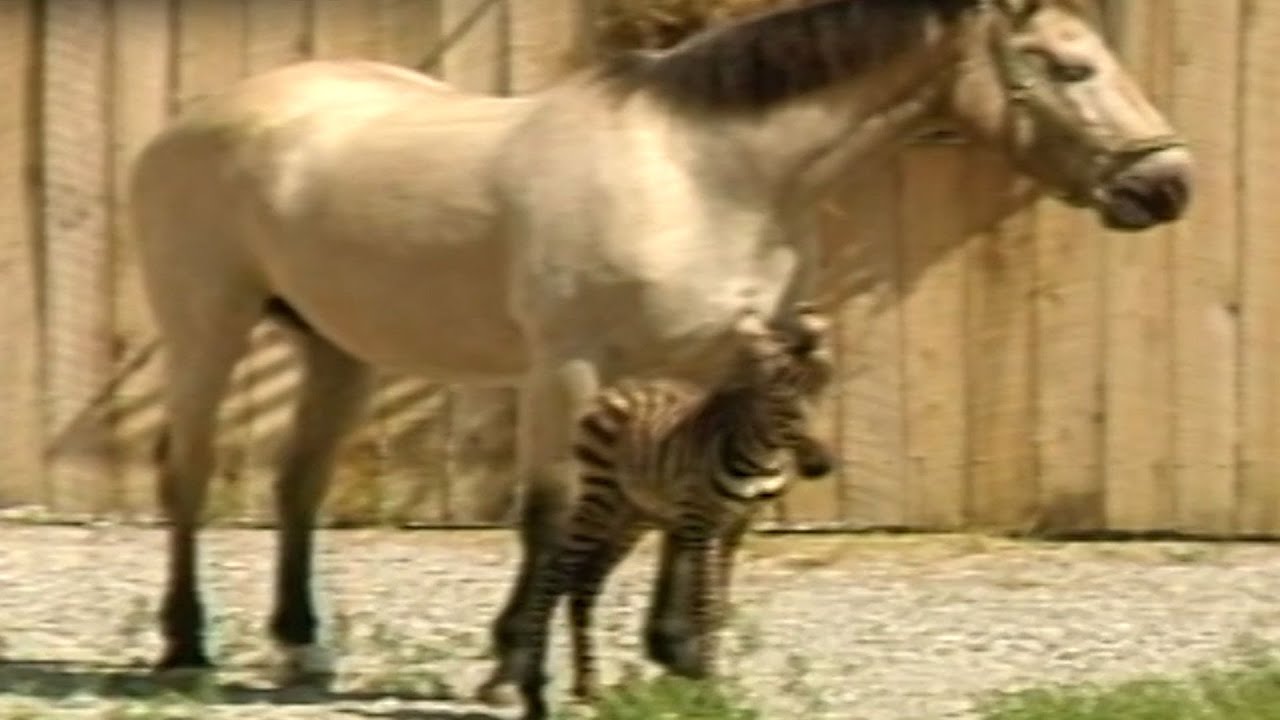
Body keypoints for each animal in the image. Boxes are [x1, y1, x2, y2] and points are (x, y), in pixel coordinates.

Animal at [478, 304, 837, 716]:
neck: (761, 456)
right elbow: (704, 604)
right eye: (782, 400)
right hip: (599, 500)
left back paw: (589, 686)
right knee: (557, 574)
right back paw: (535, 693)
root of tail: (621, 385)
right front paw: (708, 688)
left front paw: (710, 680)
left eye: (825, 391)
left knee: (584, 584)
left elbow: (719, 607)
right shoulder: (701, 521)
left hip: (631, 515)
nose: (822, 465)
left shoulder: (736, 527)